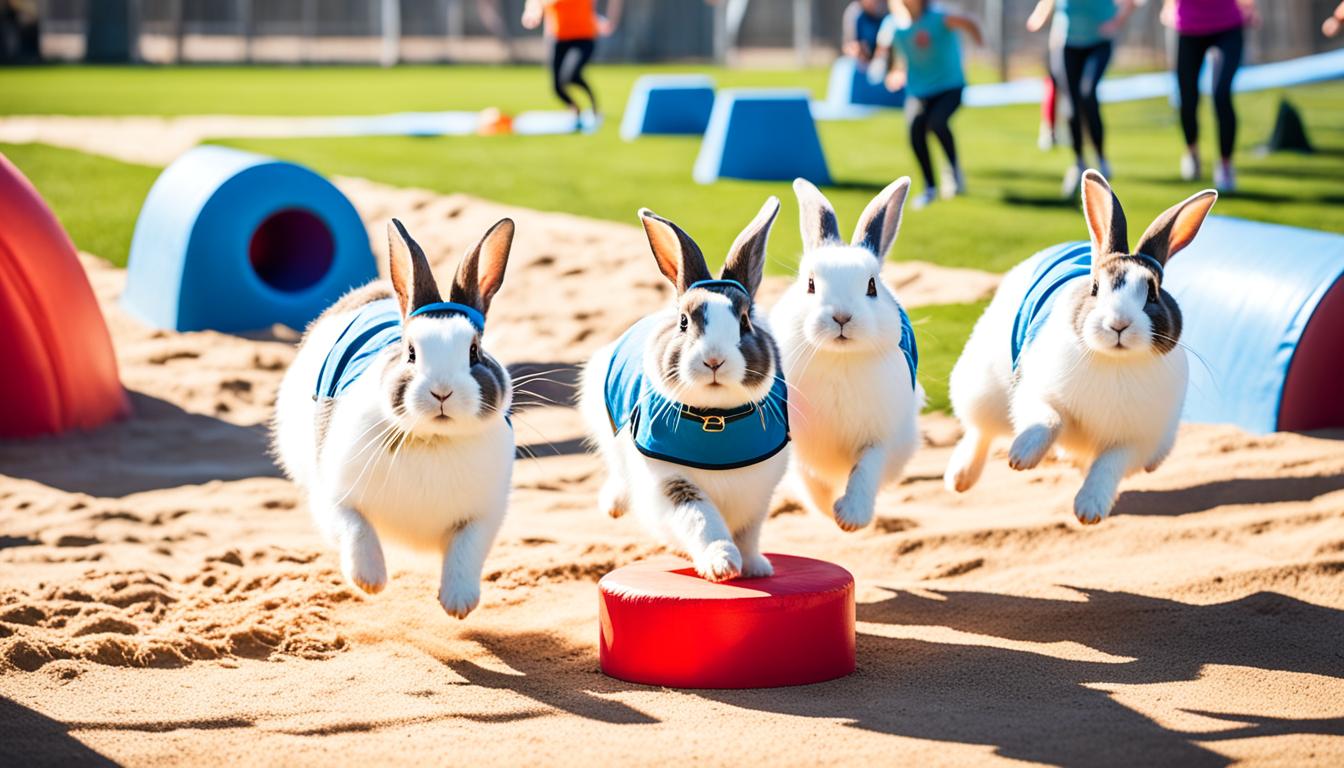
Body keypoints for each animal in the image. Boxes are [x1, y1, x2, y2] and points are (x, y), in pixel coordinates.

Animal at [272, 217, 516, 618]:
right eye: (410, 353)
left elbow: (466, 551)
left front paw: (458, 604)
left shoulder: (484, 516)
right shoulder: (335, 498)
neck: (433, 439)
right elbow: (356, 530)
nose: (442, 392)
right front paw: (370, 581)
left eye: (474, 352)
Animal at [579, 198, 789, 582]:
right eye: (684, 323)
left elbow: (748, 532)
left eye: (745, 322)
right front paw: (722, 564)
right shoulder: (671, 483)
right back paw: (614, 505)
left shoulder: (758, 494)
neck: (716, 420)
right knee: (617, 470)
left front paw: (756, 567)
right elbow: (702, 520)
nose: (714, 360)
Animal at [770, 177, 925, 532]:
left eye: (872, 286)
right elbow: (812, 486)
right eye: (810, 285)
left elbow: (865, 471)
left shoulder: (880, 438)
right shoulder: (798, 447)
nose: (841, 317)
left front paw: (851, 518)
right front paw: (831, 515)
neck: (840, 358)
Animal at [943, 170, 1217, 524]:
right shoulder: (1035, 392)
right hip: (985, 386)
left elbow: (1107, 466)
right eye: (1095, 288)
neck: (1113, 363)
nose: (1118, 324)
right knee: (980, 430)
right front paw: (1021, 456)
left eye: (1153, 294)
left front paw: (1089, 509)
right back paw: (960, 478)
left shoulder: (1135, 441)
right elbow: (1048, 420)